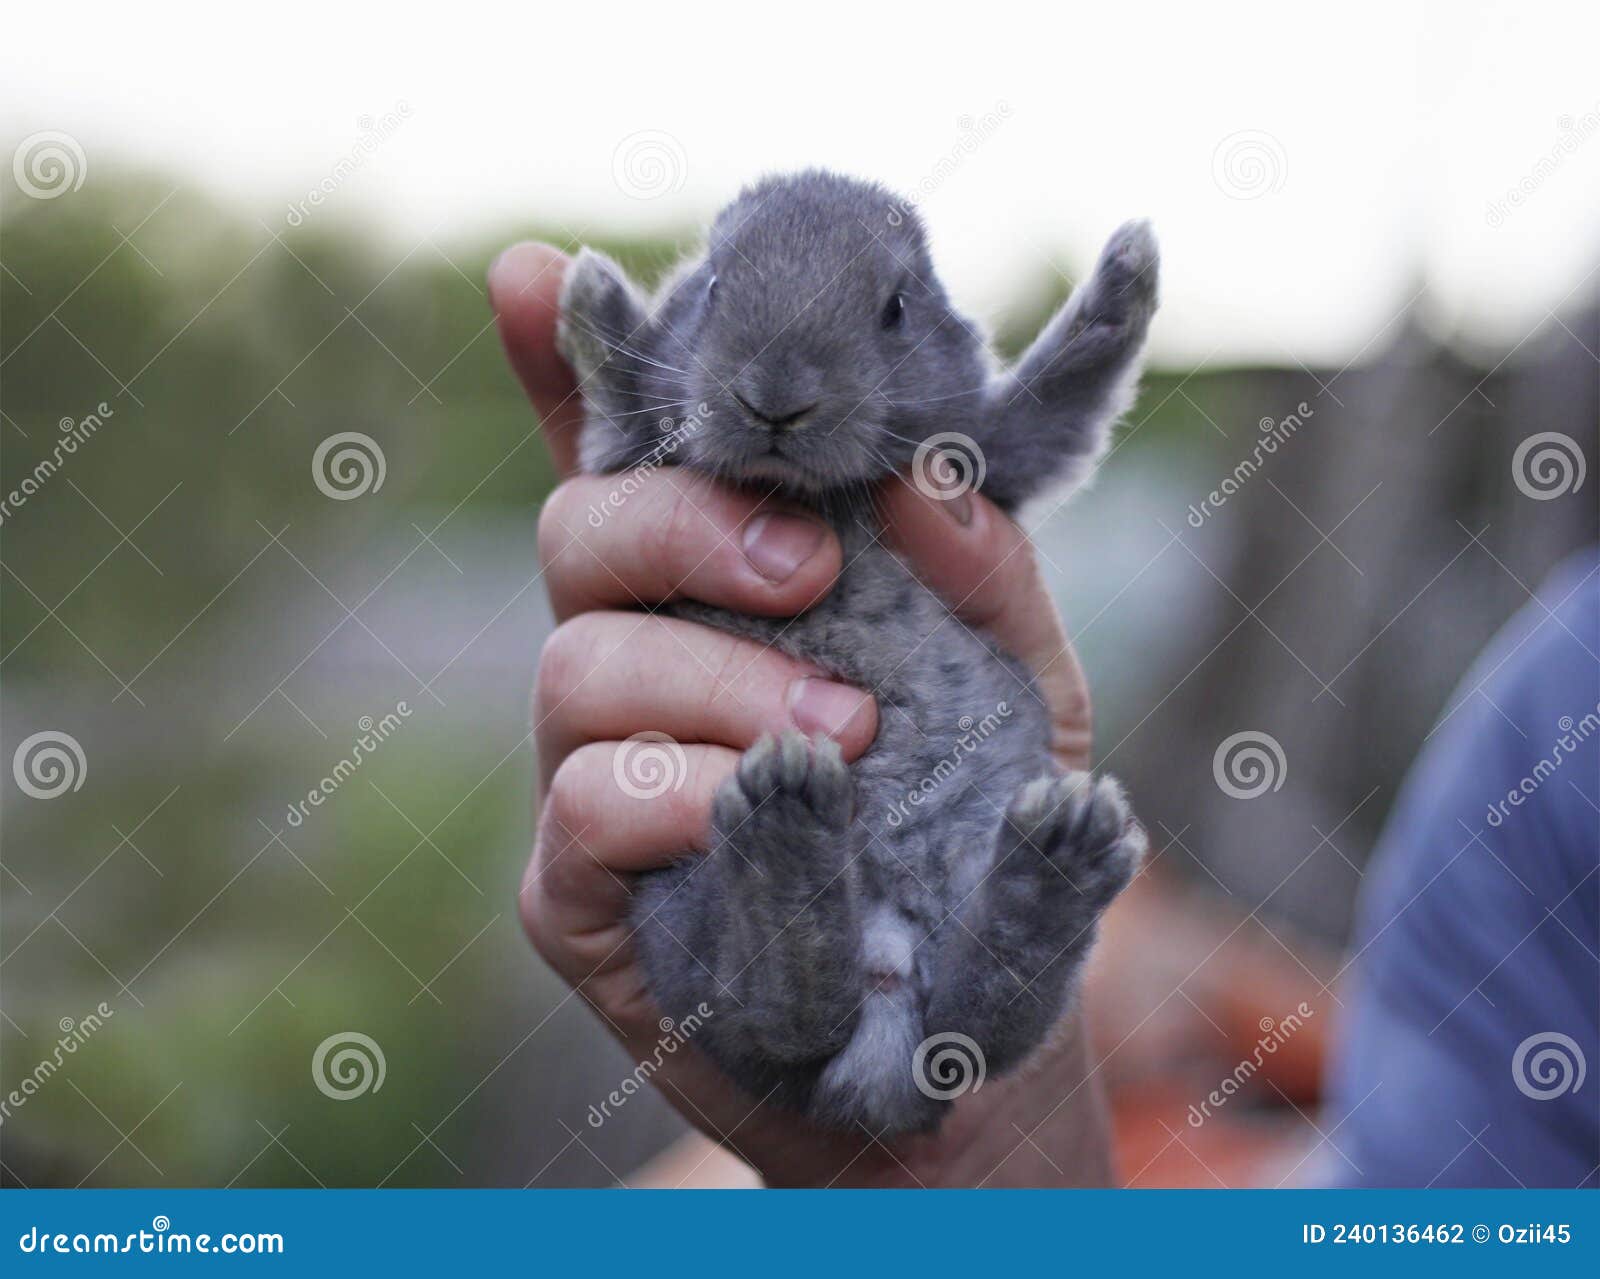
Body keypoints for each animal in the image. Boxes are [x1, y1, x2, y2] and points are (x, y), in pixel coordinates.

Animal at [554, 169, 1158, 1135]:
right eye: (714, 286)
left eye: (895, 309)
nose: (774, 396)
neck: (811, 495)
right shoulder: (626, 455)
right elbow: (623, 391)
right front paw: (589, 295)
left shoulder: (990, 461)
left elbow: (1057, 399)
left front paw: (1131, 267)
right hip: (681, 898)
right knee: (782, 1015)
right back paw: (792, 814)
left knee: (974, 1024)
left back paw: (1060, 853)